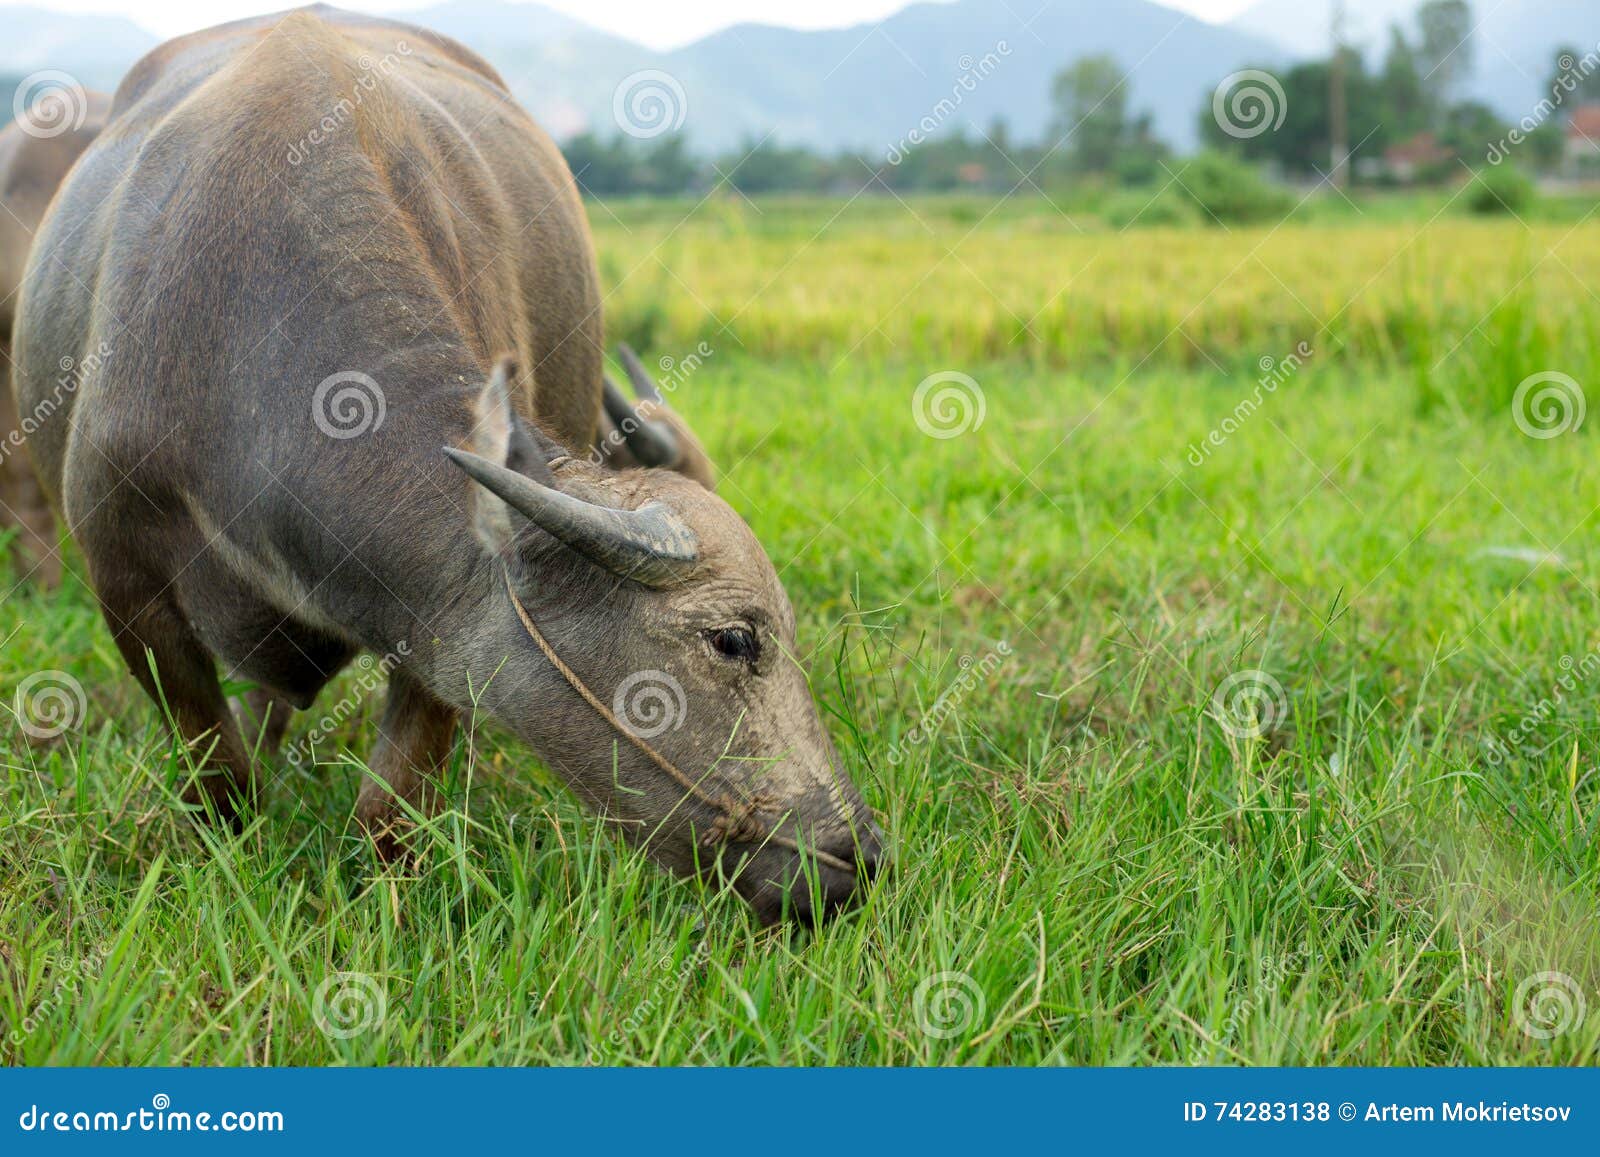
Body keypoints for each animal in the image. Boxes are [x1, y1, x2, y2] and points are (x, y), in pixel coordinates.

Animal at [13, 6, 881, 924]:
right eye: (734, 639)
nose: (856, 854)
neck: (255, 357)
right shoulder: (125, 583)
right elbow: (217, 775)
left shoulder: (433, 617)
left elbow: (390, 804)